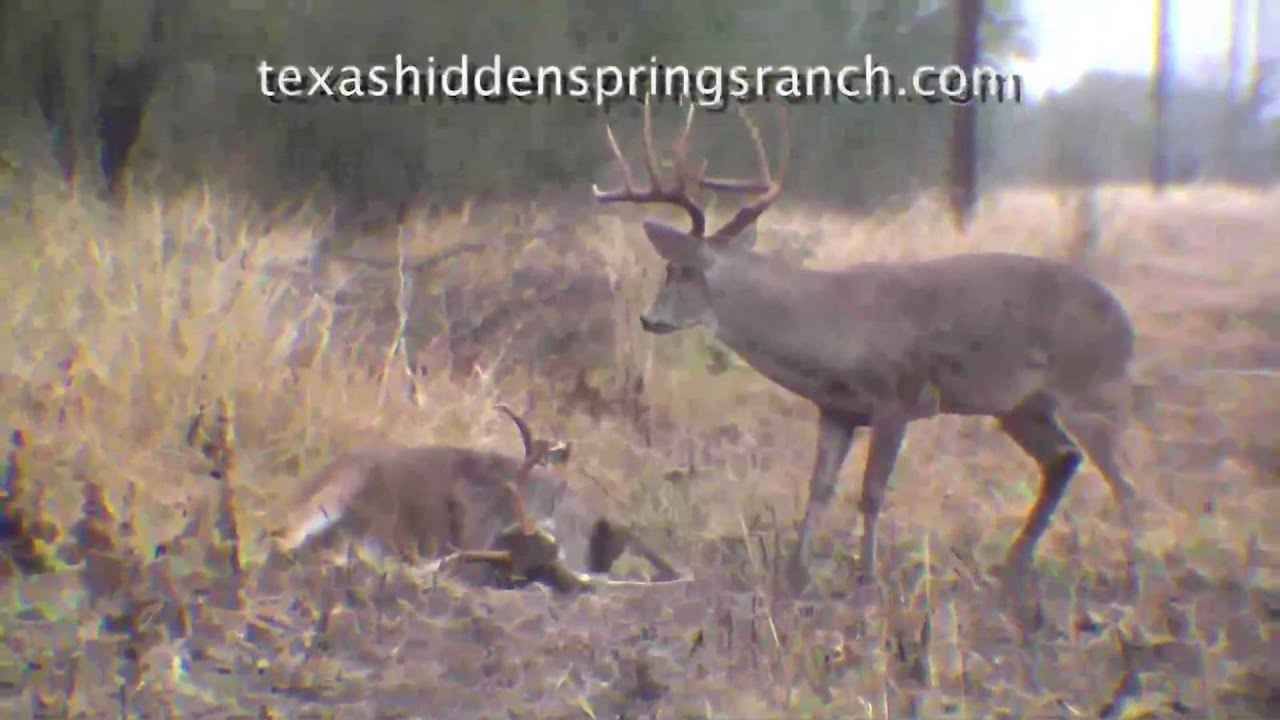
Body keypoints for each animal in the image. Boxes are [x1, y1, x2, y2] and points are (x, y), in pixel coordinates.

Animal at [592, 101, 1140, 593]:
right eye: (667, 268)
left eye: (685, 270)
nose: (649, 318)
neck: (830, 327)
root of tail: (1124, 321)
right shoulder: (836, 409)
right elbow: (818, 489)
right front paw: (795, 577)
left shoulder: (897, 398)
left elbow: (871, 492)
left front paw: (866, 578)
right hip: (1019, 407)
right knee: (1063, 461)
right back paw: (1013, 570)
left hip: (1089, 390)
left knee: (1125, 484)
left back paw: (1131, 581)